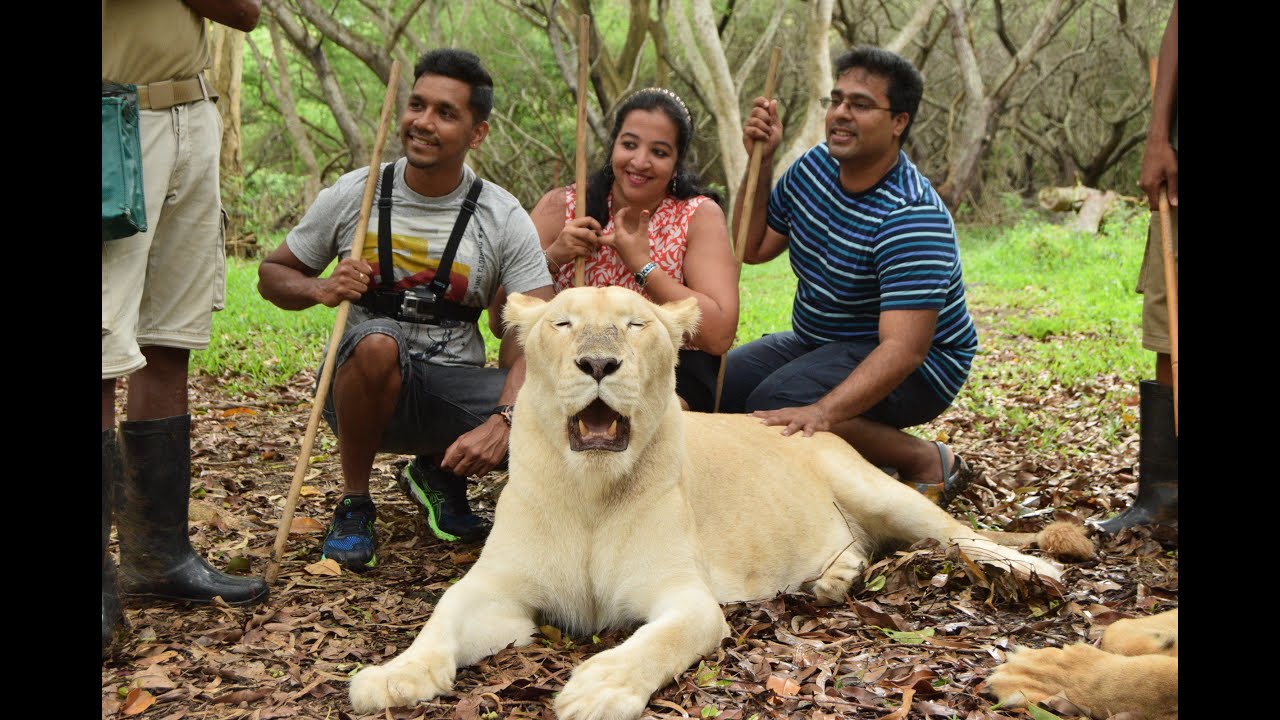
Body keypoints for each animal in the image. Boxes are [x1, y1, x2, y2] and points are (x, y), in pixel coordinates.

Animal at [349, 286, 1062, 719]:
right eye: (564, 323)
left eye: (635, 324)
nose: (598, 364)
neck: (589, 491)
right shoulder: (499, 591)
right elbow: (440, 618)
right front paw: (390, 677)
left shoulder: (686, 598)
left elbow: (653, 644)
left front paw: (599, 688)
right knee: (861, 547)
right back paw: (833, 581)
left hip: (879, 490)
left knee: (957, 532)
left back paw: (1036, 569)